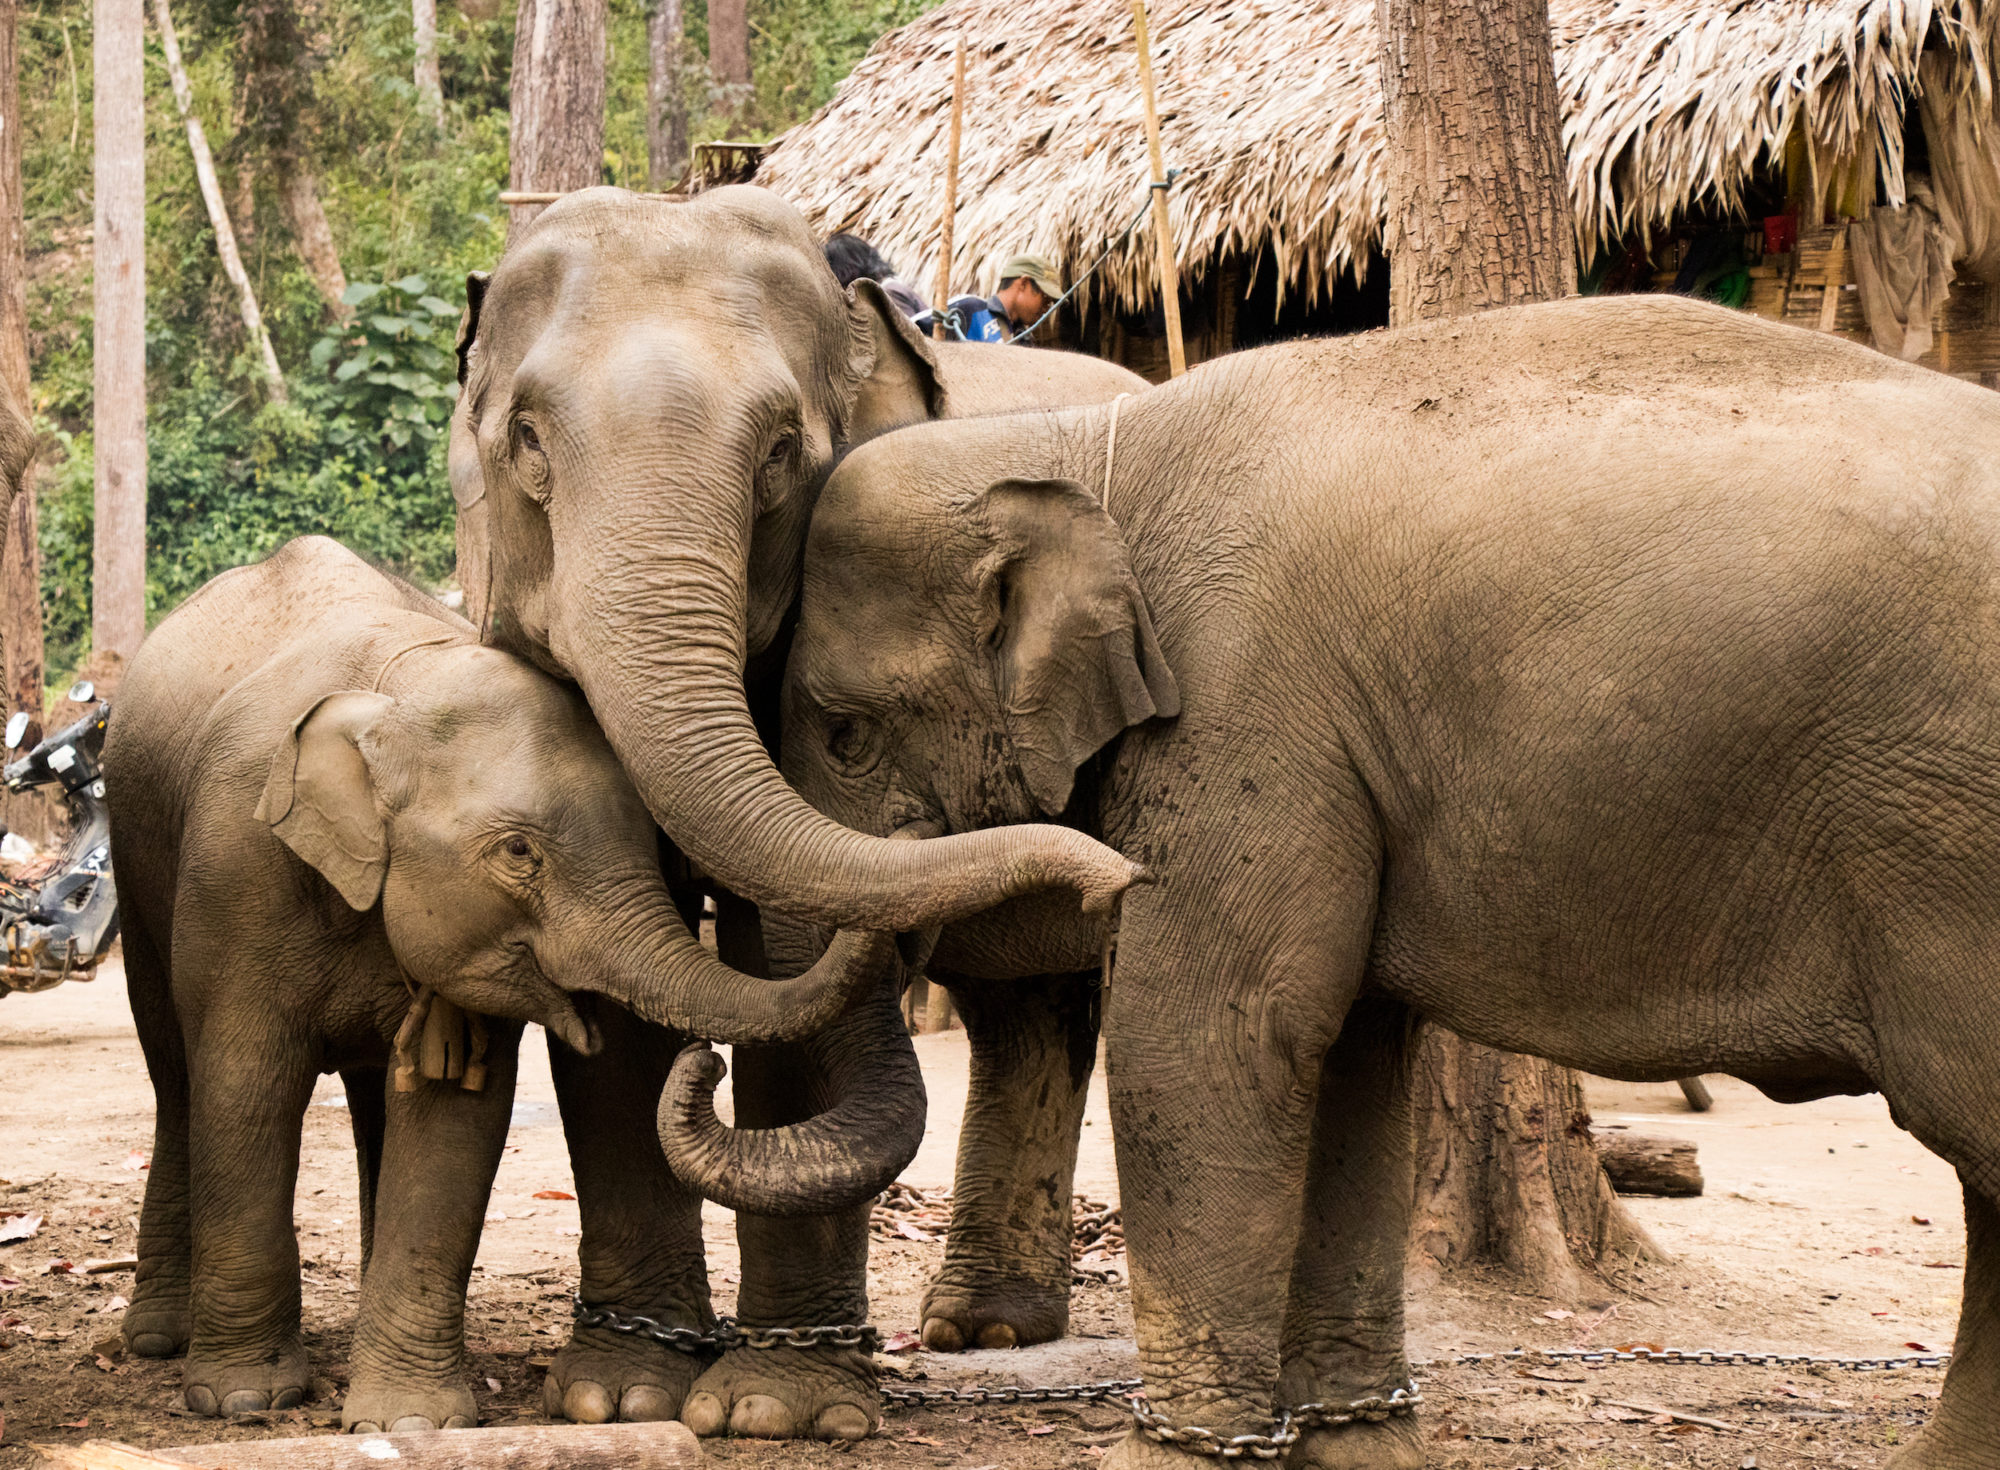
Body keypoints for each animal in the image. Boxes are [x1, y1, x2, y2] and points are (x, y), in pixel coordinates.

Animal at [104, 536, 898, 1434]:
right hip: (137, 866)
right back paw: (161, 1341)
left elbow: (454, 1115)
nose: (703, 1061)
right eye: (521, 853)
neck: (394, 690)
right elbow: (246, 1087)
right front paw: (244, 1401)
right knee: (176, 1078)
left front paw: (408, 1423)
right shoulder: (236, 871)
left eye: (655, 843)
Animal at [448, 183, 1148, 1437]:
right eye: (525, 440)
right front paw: (618, 1396)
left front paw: (774, 1411)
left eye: (781, 454)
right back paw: (983, 1328)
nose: (705, 1071)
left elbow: (784, 968)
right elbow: (617, 970)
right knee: (1029, 1004)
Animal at [729, 292, 2000, 1470]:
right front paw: (1357, 1443)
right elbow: (1343, 1058)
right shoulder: (1325, 755)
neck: (1092, 442)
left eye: (842, 733)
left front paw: (1179, 1459)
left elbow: (1213, 1036)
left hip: (1944, 832)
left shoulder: (1240, 706)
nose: (1108, 878)